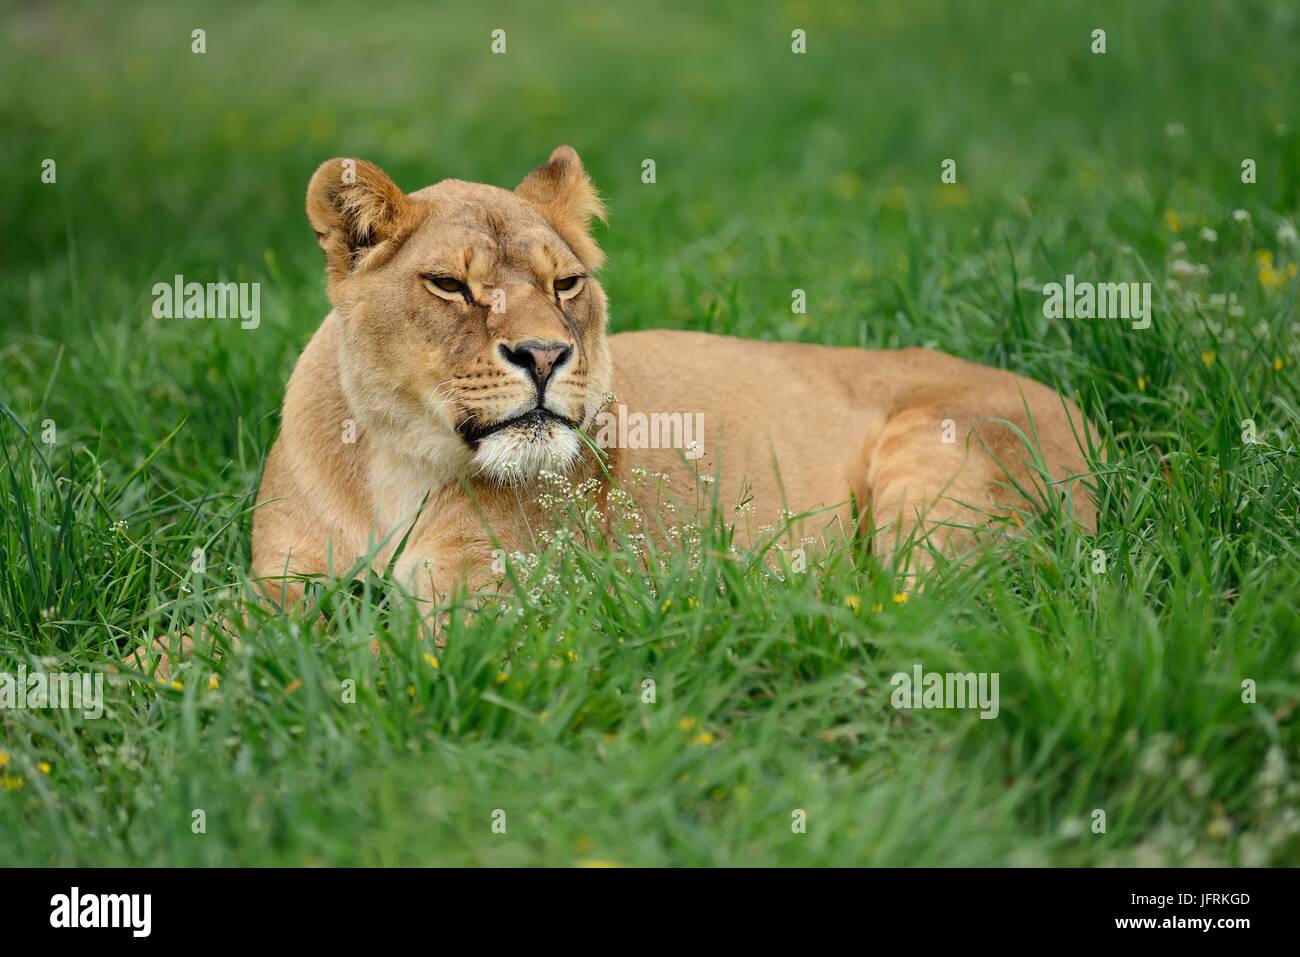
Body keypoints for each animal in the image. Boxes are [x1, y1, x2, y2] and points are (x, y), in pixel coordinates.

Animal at [249, 145, 1098, 607]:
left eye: (565, 284)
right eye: (451, 286)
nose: (545, 355)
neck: (391, 460)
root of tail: (1088, 416)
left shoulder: (496, 605)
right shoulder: (280, 577)